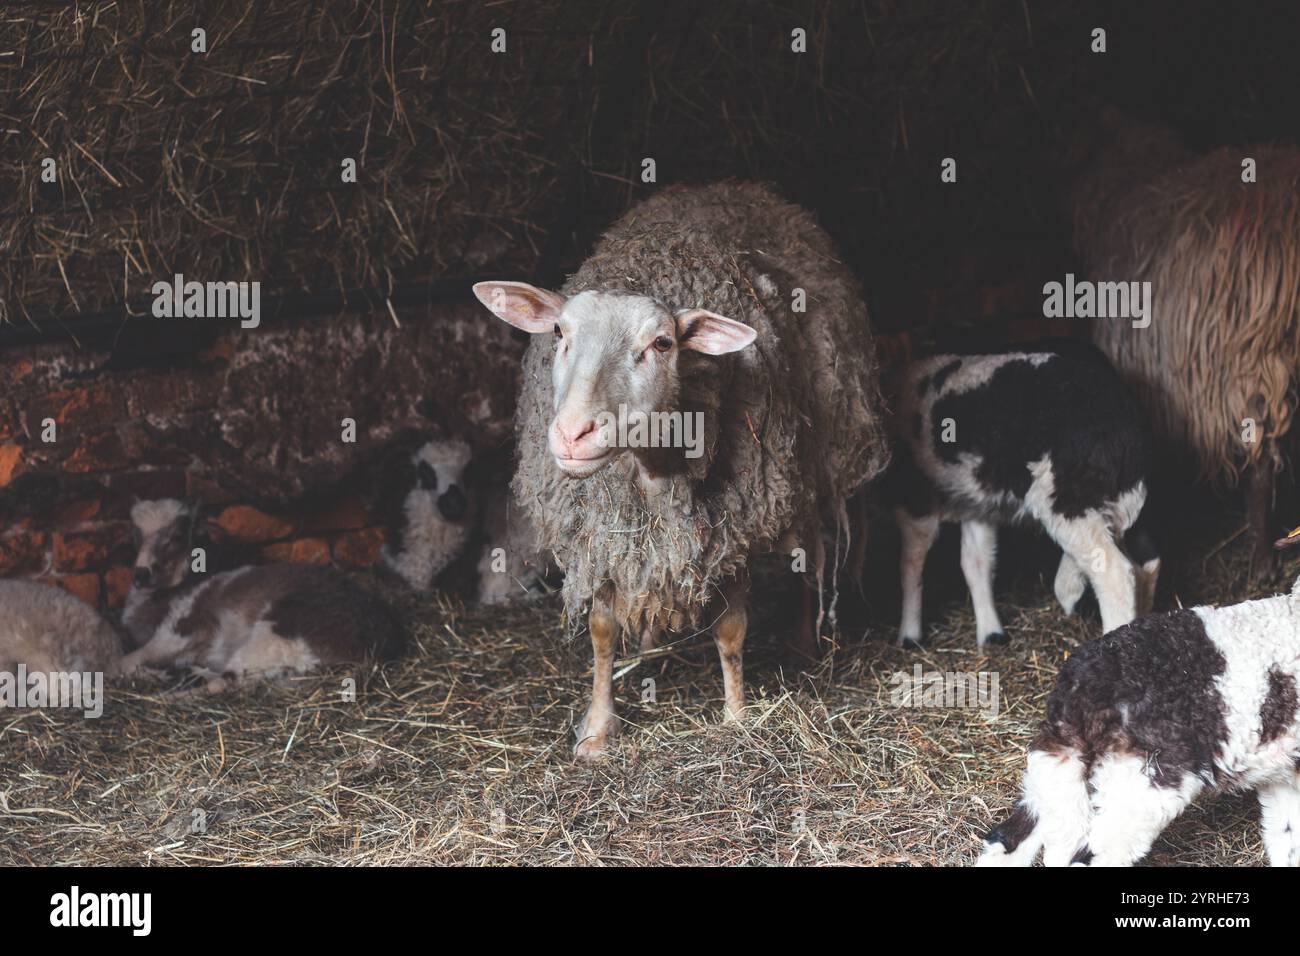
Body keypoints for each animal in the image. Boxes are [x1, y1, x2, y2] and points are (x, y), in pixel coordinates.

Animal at [121, 499, 404, 684]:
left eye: (178, 536)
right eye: (134, 534)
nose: (141, 574)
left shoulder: (178, 631)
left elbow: (125, 663)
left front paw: (155, 674)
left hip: (276, 633)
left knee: (226, 682)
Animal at [473, 181, 889, 760]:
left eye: (662, 344)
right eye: (558, 331)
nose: (573, 434)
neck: (649, 477)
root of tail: (728, 186)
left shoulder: (735, 526)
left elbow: (731, 633)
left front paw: (737, 717)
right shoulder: (602, 538)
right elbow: (602, 633)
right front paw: (597, 731)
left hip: (811, 471)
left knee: (810, 555)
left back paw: (805, 642)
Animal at [884, 345, 1159, 648]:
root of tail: (1128, 430)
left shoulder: (913, 497)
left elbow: (910, 565)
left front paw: (909, 634)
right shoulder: (978, 505)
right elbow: (976, 562)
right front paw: (990, 632)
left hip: (1069, 497)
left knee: (1114, 572)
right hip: (1120, 499)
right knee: (1146, 563)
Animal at [978, 529, 1300, 867]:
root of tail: (1079, 685)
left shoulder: (1284, 777)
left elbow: (1287, 842)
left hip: (1058, 766)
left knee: (1011, 839)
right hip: (1143, 781)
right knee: (1090, 855)